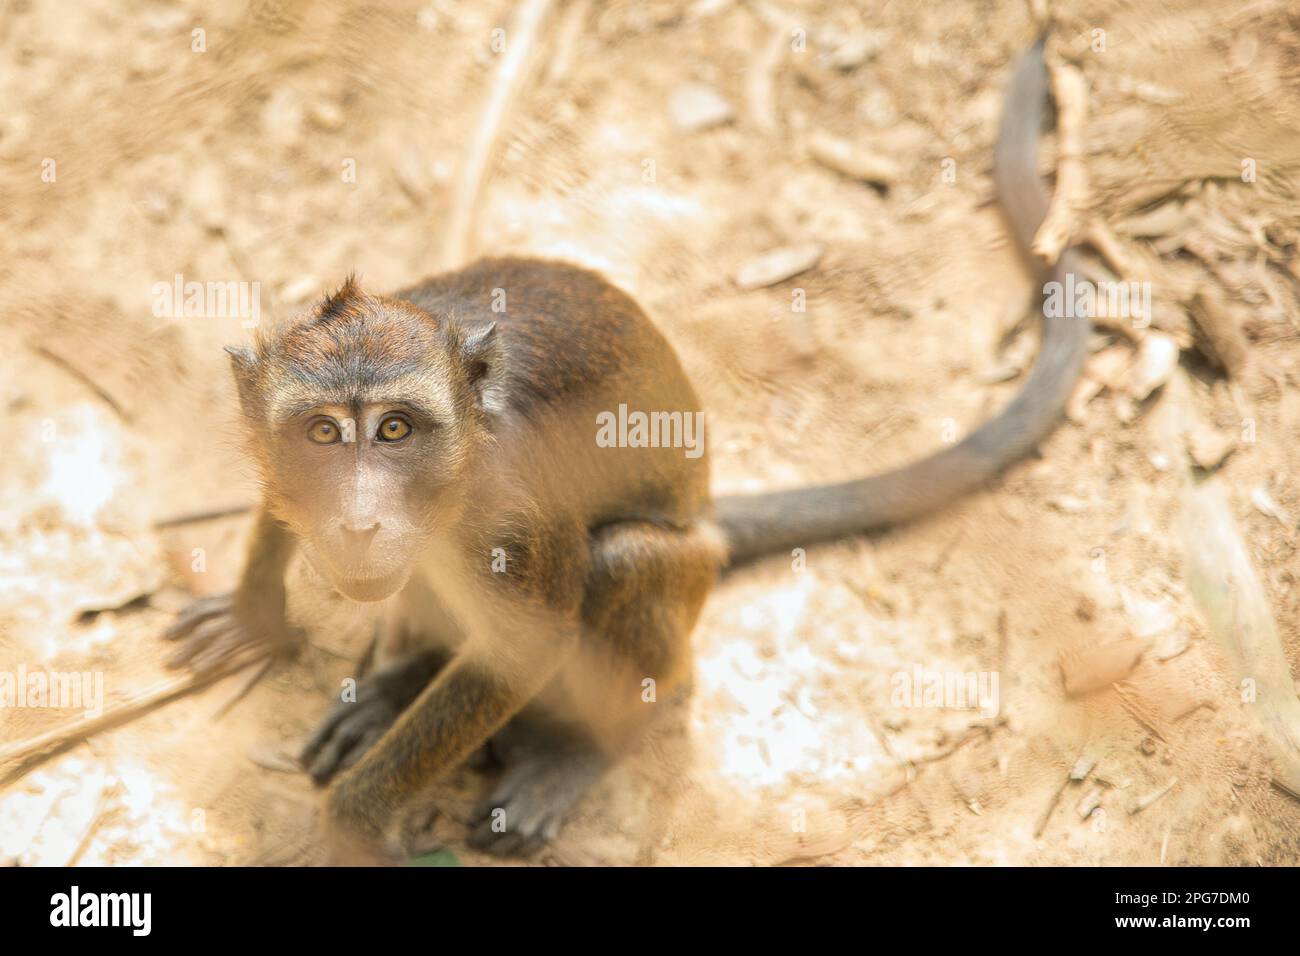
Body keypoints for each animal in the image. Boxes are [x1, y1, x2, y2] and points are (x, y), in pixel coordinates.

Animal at [164, 41, 1087, 858]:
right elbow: (278, 501)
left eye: (396, 430)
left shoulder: (508, 512)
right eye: (322, 434)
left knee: (620, 566)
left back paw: (576, 746)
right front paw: (254, 615)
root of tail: (711, 521)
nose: (358, 519)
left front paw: (357, 821)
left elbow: (525, 649)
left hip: (680, 582)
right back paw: (400, 680)